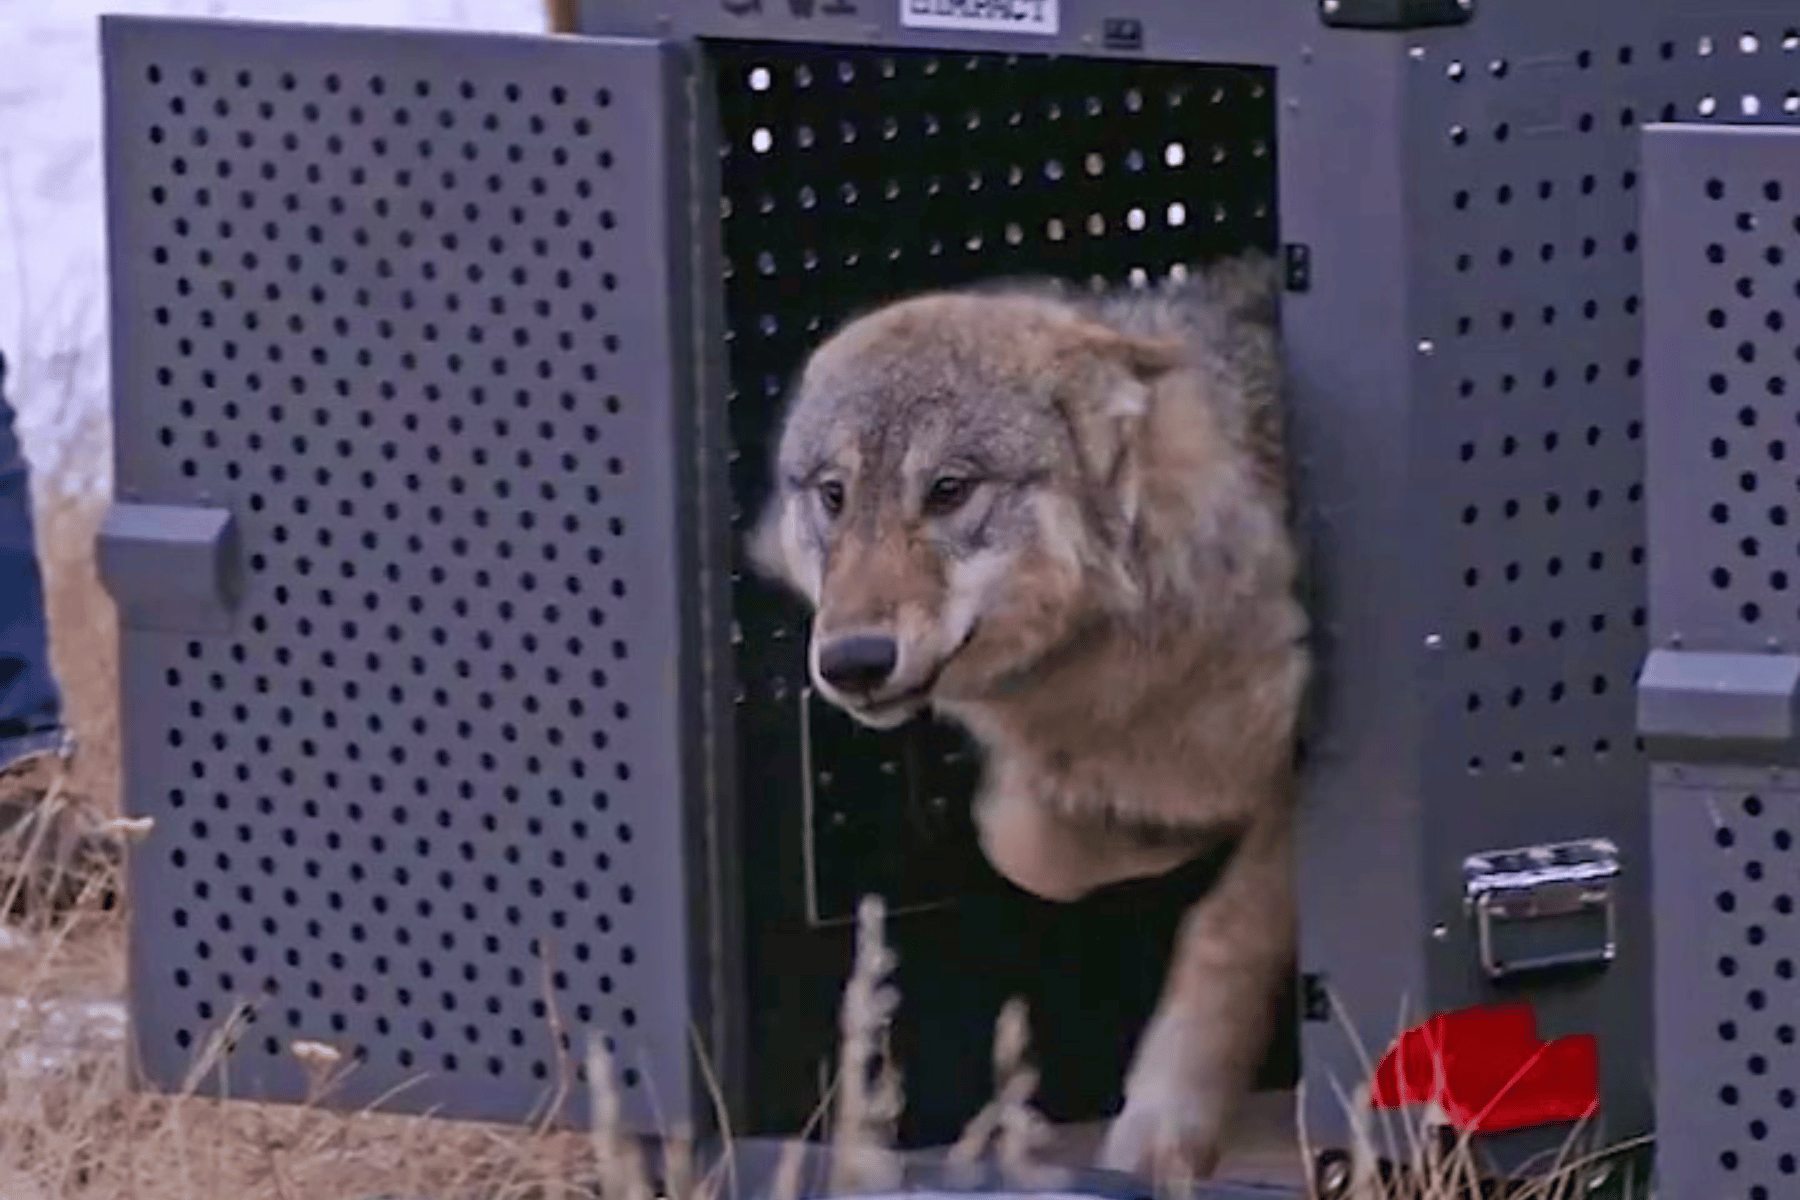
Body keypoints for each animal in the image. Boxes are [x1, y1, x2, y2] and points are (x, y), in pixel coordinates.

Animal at [747, 251, 1311, 1184]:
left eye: (948, 490)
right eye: (833, 494)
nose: (853, 661)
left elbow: (1224, 932)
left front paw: (1166, 1121)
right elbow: (1026, 843)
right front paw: (1154, 829)